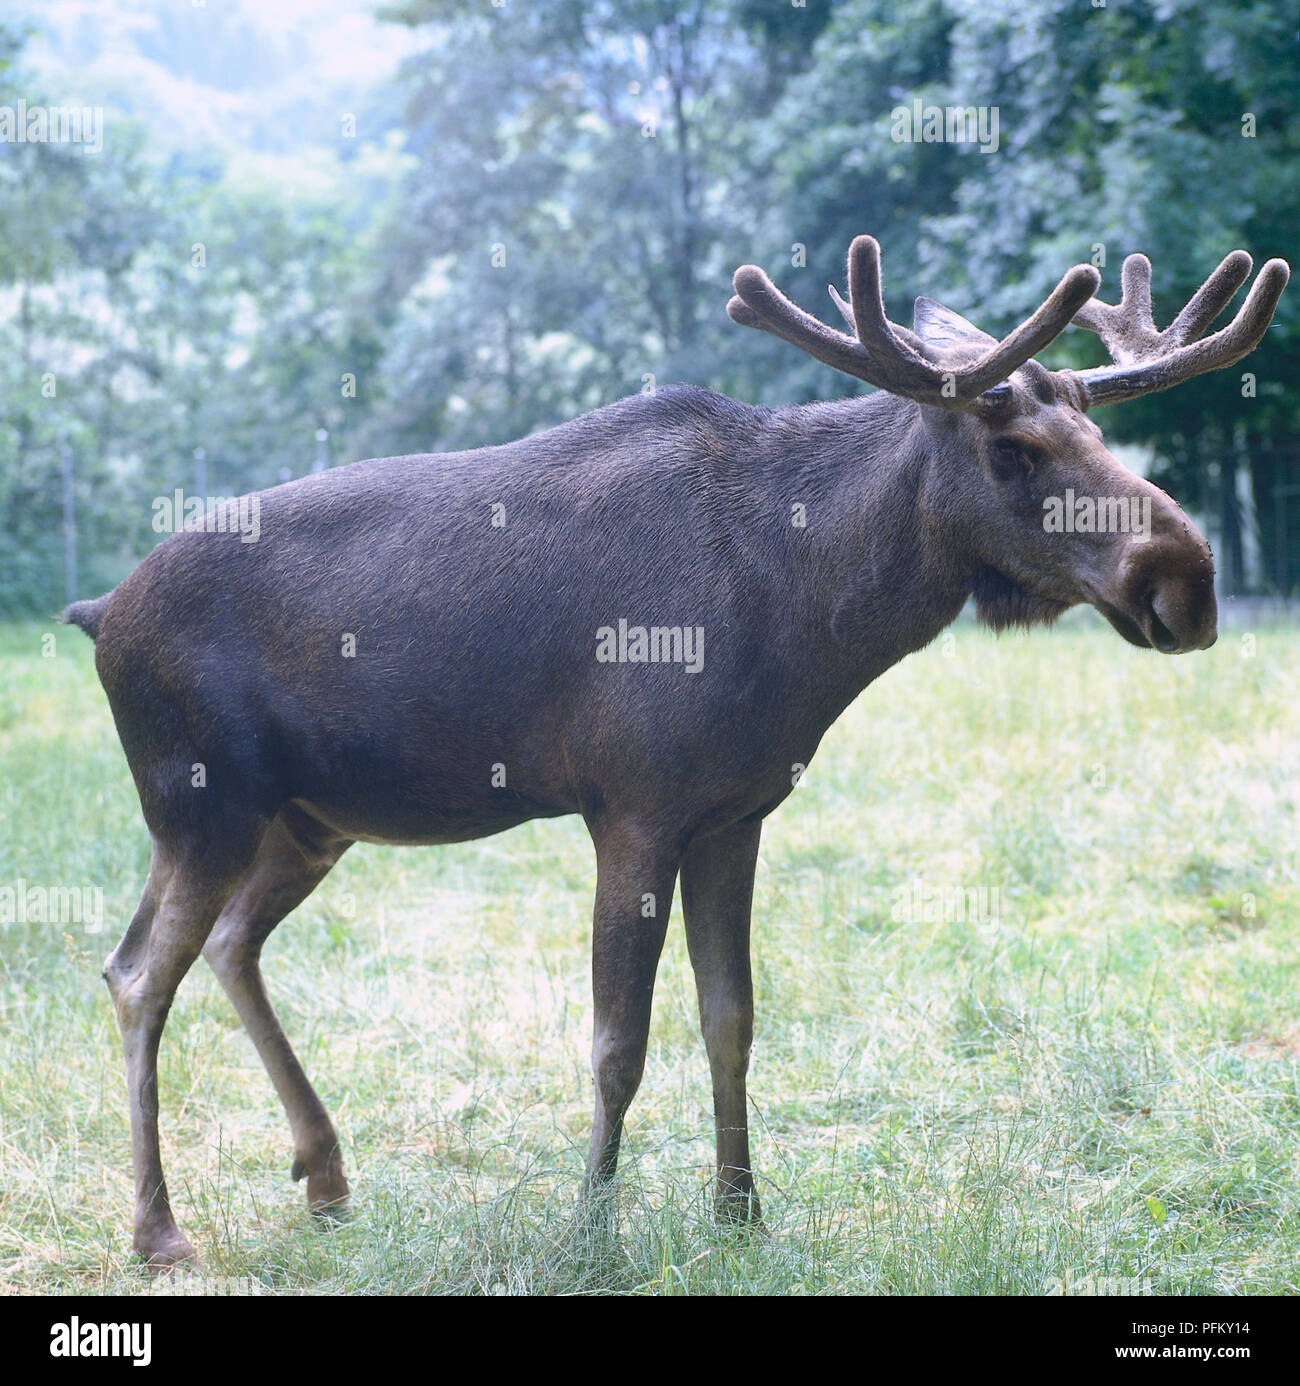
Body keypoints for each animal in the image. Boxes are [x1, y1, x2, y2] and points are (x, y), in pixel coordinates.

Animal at [63, 235, 1287, 1267]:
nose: (1185, 579)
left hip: (307, 821)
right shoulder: (634, 809)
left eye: (1095, 428)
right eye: (1012, 447)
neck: (808, 619)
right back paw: (158, 1230)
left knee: (225, 946)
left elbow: (731, 1019)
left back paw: (324, 1177)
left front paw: (741, 1211)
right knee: (137, 972)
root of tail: (95, 613)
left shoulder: (736, 813)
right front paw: (590, 1229)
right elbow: (618, 1040)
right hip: (200, 802)